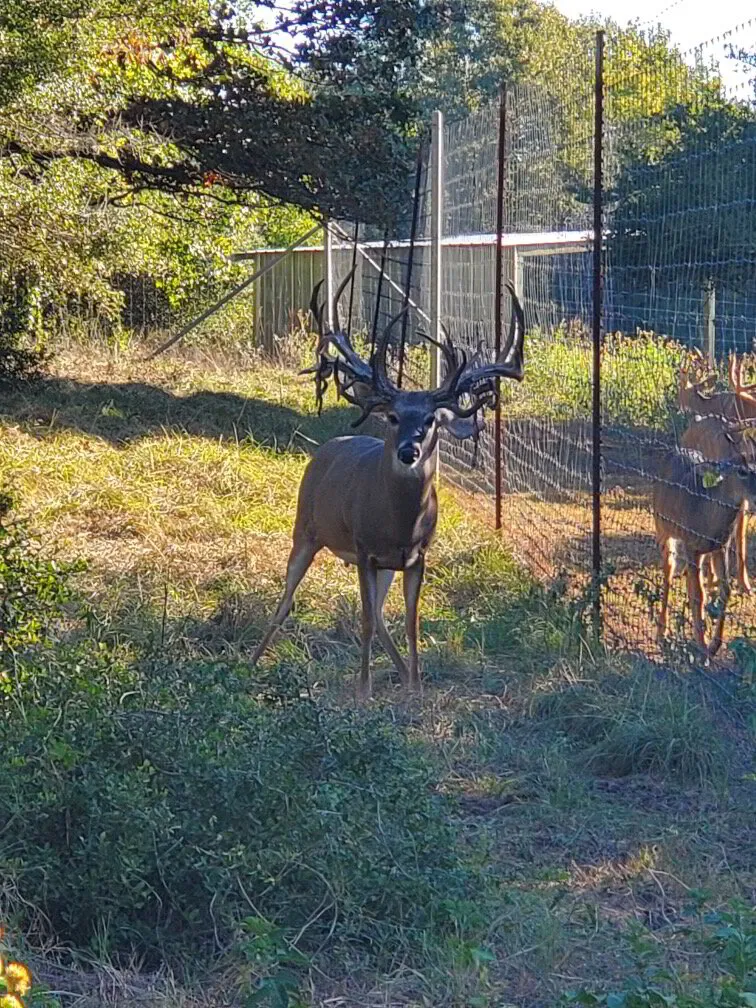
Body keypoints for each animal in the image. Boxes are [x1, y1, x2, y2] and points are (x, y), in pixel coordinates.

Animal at [250, 277, 525, 699]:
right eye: (393, 417)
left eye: (430, 420)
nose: (408, 451)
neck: (400, 524)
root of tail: (326, 448)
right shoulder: (365, 550)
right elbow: (364, 621)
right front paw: (363, 692)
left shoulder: (416, 557)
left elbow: (410, 623)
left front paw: (415, 687)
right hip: (305, 531)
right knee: (286, 601)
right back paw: (249, 663)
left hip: (381, 565)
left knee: (379, 614)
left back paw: (399, 672)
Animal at [654, 426, 756, 656]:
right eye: (741, 471)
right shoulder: (691, 544)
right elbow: (698, 595)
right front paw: (702, 645)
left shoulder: (720, 547)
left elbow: (724, 590)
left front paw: (714, 643)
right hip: (663, 527)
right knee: (668, 572)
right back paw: (662, 630)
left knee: (688, 577)